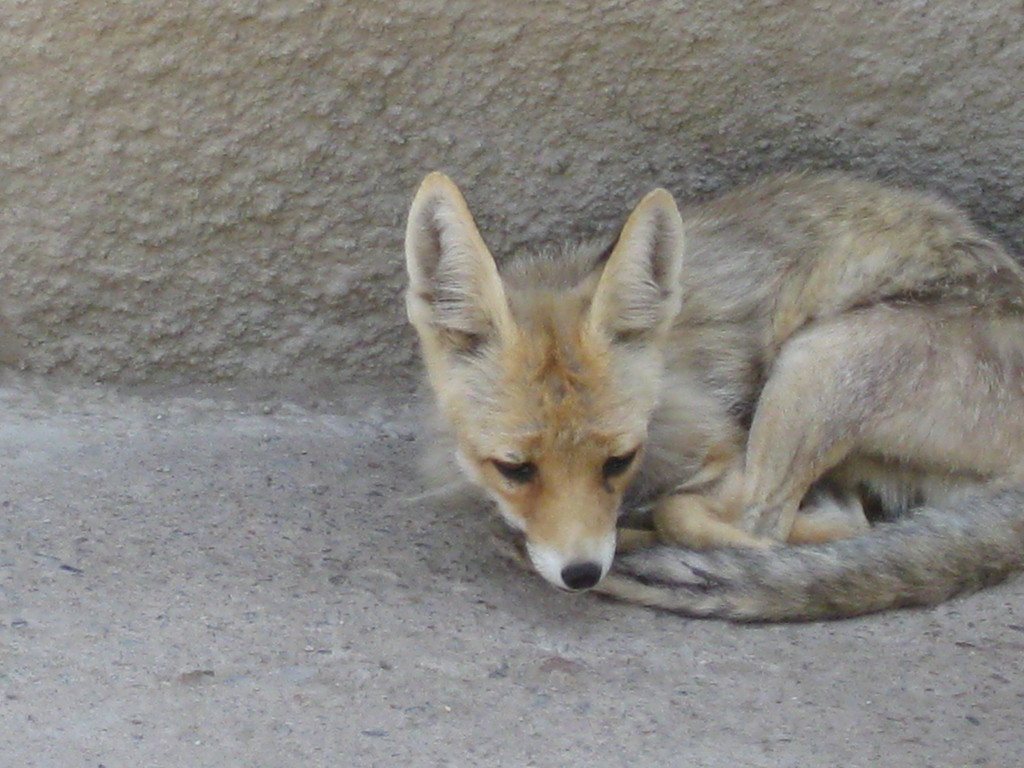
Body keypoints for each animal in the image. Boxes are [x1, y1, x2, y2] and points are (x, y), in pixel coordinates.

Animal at [404, 169, 1024, 620]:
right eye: (515, 468)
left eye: (619, 461)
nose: (582, 574)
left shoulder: (724, 446)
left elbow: (693, 507)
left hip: (814, 362)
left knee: (773, 529)